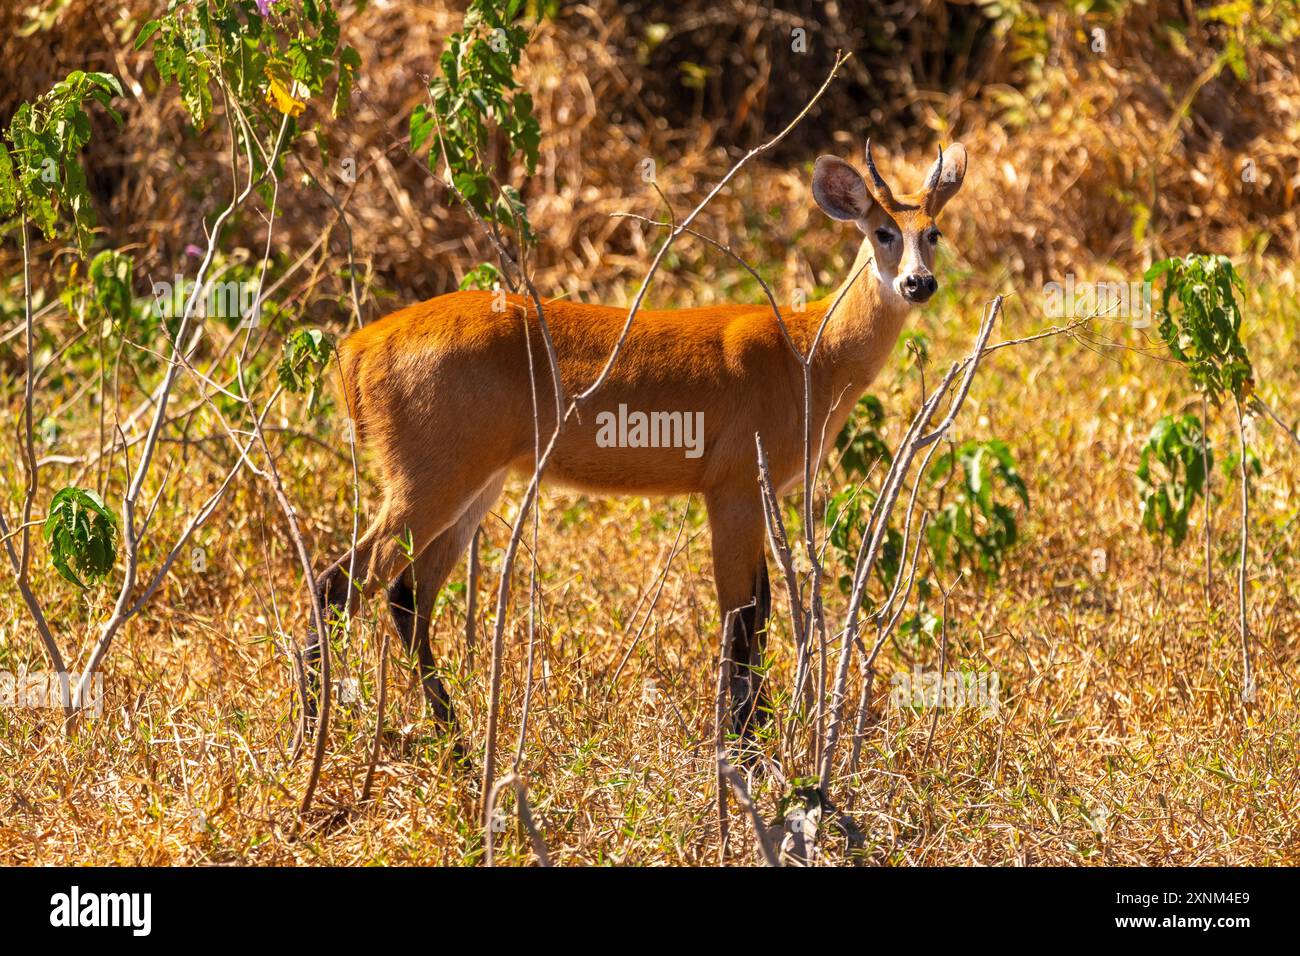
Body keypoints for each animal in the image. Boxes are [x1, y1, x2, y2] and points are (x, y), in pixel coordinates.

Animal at [308, 139, 967, 751]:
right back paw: (320, 729)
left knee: (406, 595)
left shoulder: (758, 491)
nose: (919, 282)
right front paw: (741, 747)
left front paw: (751, 737)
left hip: (475, 481)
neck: (808, 353)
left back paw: (456, 742)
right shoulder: (730, 487)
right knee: (338, 582)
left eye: (933, 232)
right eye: (882, 231)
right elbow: (741, 618)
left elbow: (758, 613)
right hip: (429, 476)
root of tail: (356, 349)